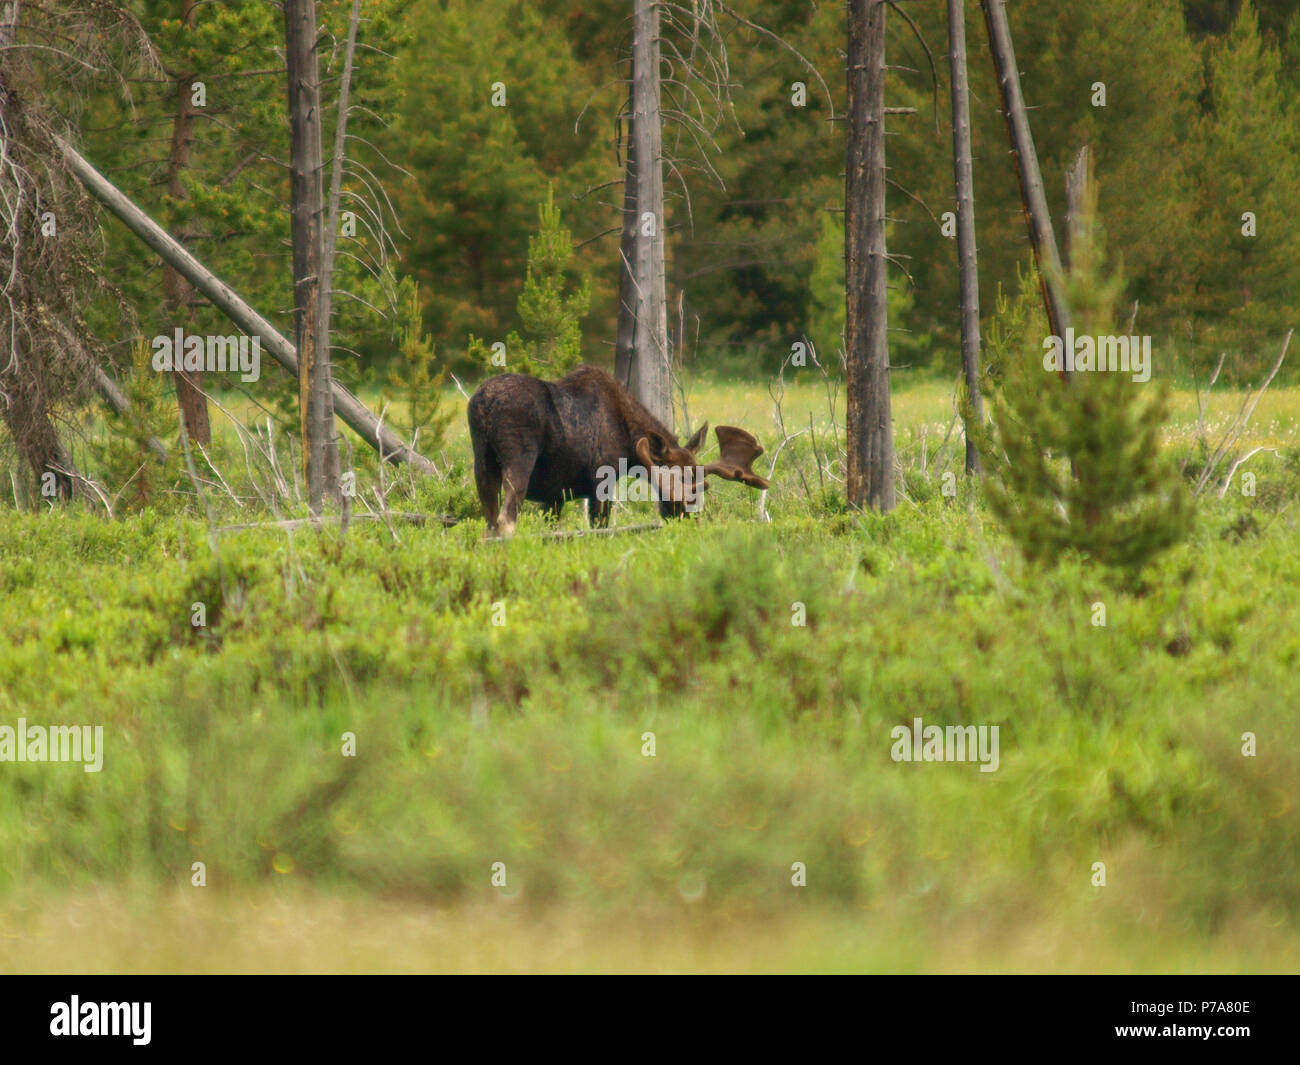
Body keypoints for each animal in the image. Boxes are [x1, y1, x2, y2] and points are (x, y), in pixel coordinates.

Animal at [467, 366, 769, 538]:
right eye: (674, 487)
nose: (687, 520)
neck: (628, 439)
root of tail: (483, 403)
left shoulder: (555, 495)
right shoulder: (602, 479)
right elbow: (599, 526)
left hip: (482, 461)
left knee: (489, 522)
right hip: (518, 459)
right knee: (506, 519)